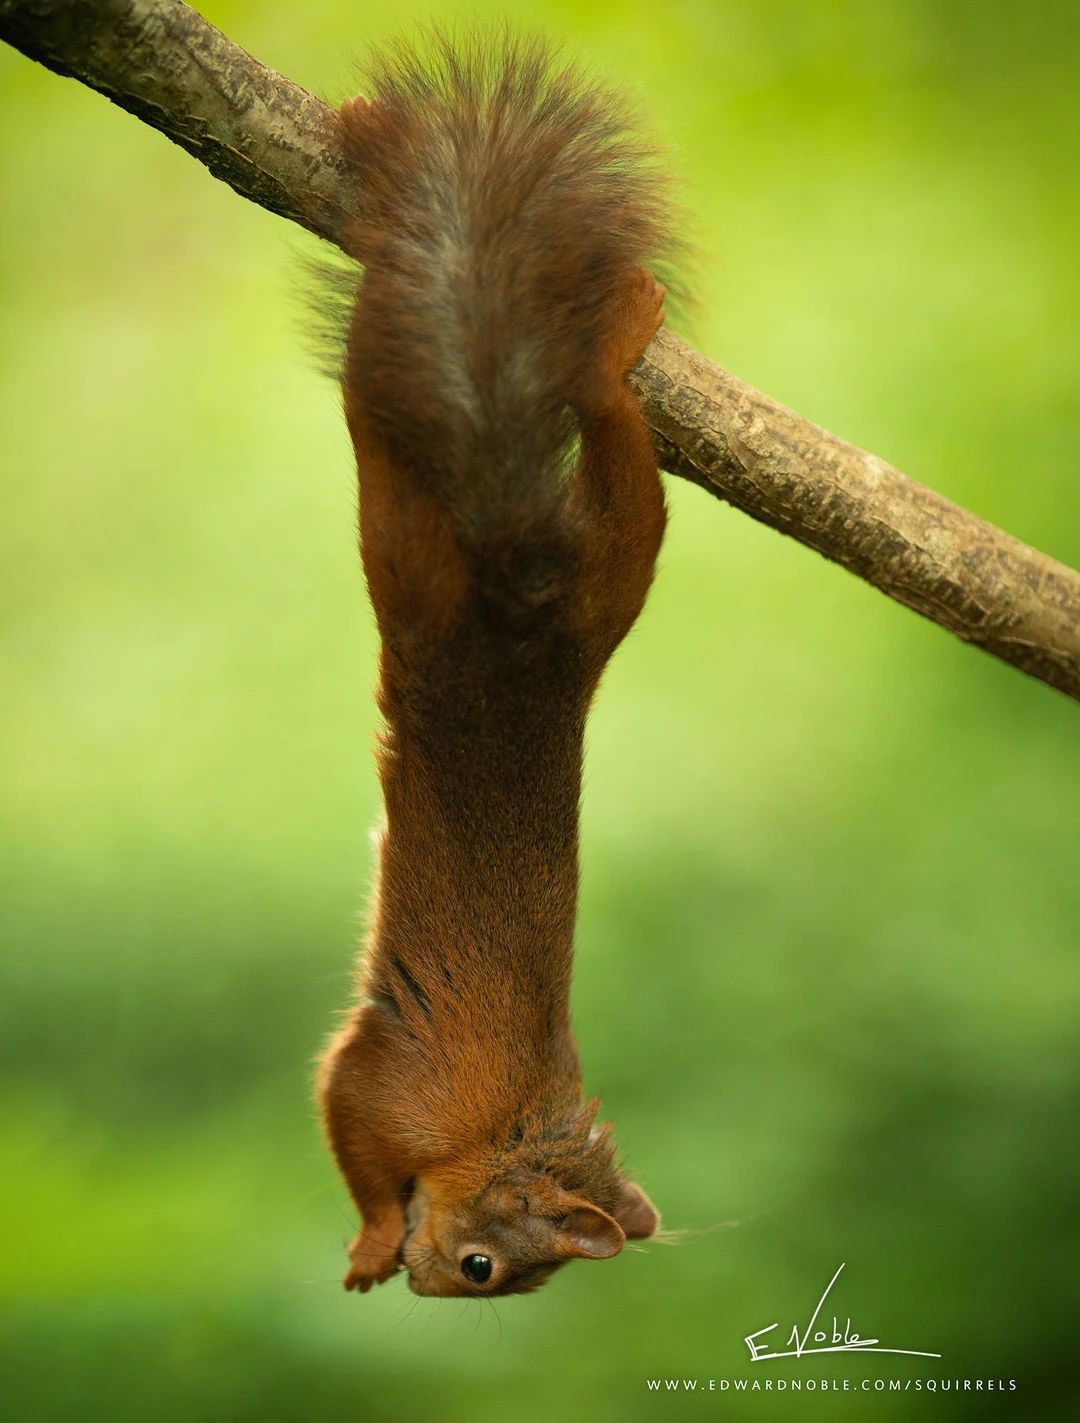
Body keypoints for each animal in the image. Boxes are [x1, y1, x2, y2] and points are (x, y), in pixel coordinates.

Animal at [316, 32, 676, 1299]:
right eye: (484, 1266)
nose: (432, 1283)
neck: (500, 1125)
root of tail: (524, 609)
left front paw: (377, 1243)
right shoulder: (396, 1087)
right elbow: (355, 1138)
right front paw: (375, 1240)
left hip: (607, 581)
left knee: (617, 464)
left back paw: (619, 333)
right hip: (424, 560)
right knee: (370, 411)